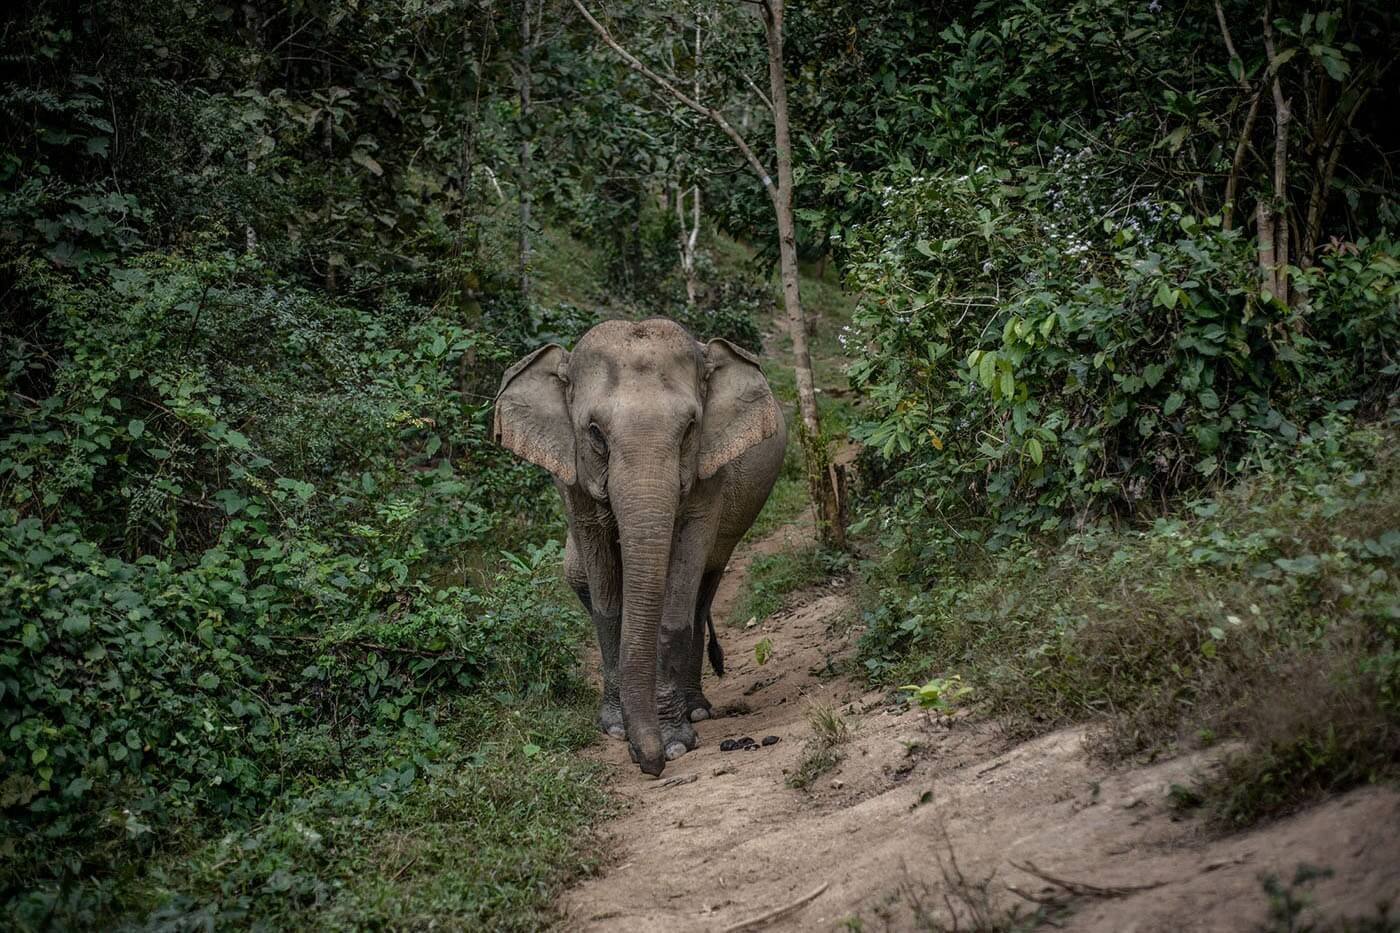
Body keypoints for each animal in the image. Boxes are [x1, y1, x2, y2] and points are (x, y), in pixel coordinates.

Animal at [493, 317, 786, 777]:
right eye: (595, 432)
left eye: (690, 429)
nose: (648, 761)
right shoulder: (573, 480)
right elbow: (605, 600)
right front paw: (617, 729)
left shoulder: (709, 474)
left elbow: (679, 591)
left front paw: (674, 742)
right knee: (578, 574)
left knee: (703, 590)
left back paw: (696, 709)